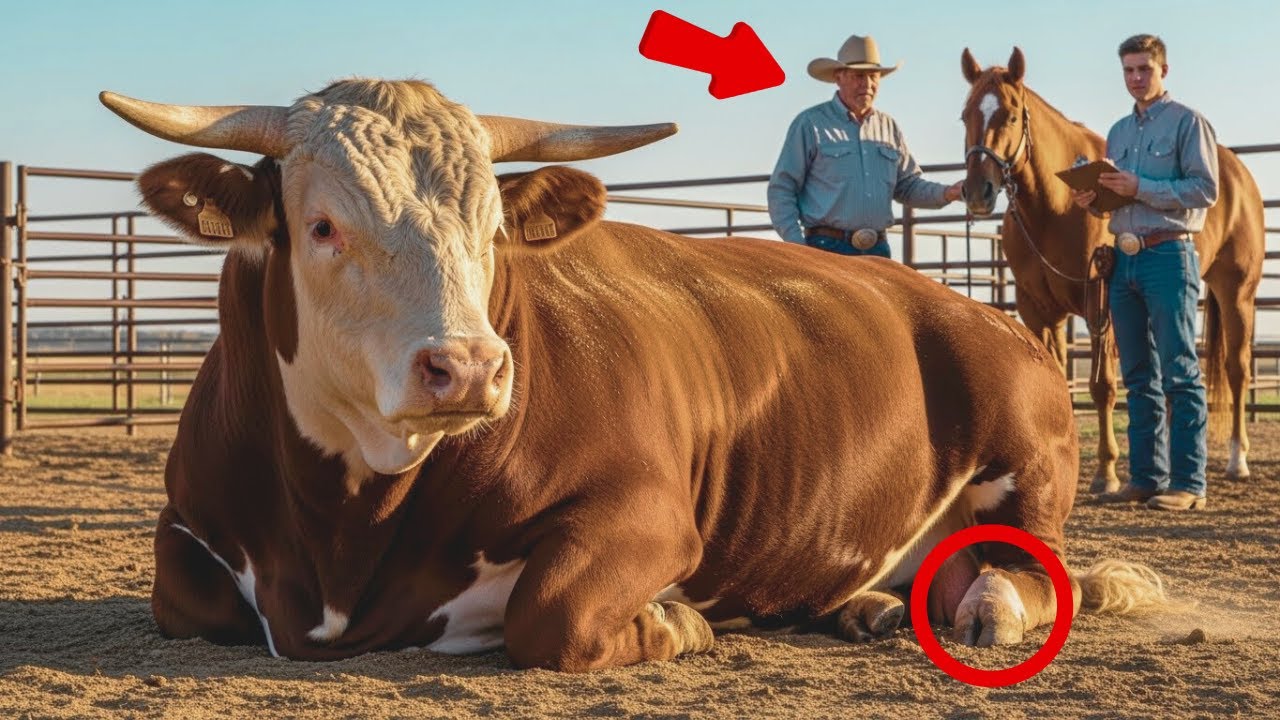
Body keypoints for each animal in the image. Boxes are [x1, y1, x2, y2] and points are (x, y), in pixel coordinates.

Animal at [99, 79, 1162, 671]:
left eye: (494, 227)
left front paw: (676, 622)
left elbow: (552, 610)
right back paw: (865, 605)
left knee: (1024, 576)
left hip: (1028, 456)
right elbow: (180, 600)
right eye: (322, 226)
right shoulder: (187, 520)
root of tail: (981, 313)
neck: (342, 536)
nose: (469, 368)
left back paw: (978, 602)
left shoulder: (648, 514)